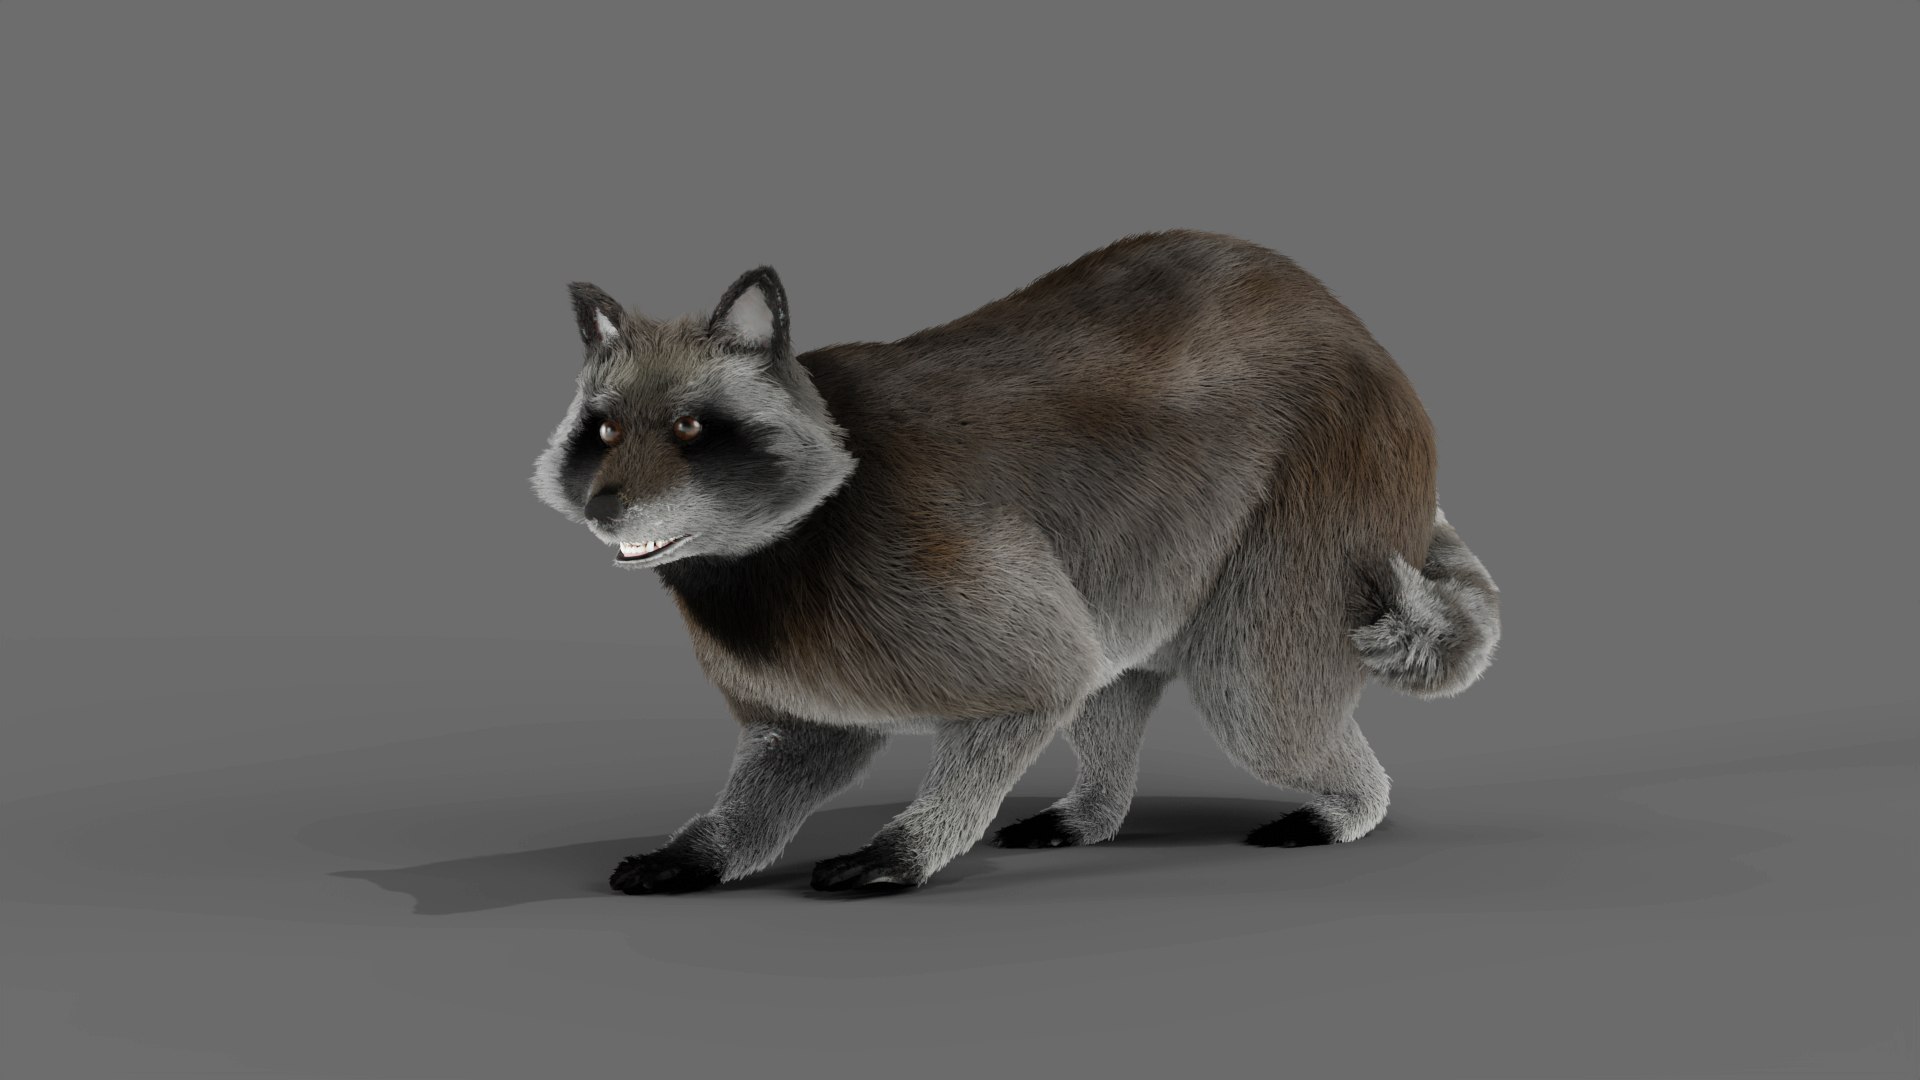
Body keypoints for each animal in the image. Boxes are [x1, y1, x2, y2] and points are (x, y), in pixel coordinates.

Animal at [530, 230, 1501, 894]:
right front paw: (712, 842)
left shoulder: (942, 564)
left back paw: (1348, 807)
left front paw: (912, 844)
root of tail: (1353, 326)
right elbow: (795, 753)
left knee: (1257, 697)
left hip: (1317, 501)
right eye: (602, 430)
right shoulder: (798, 665)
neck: (751, 556)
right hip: (1139, 561)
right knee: (1113, 690)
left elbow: (1038, 682)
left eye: (691, 426)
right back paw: (1098, 807)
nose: (603, 503)